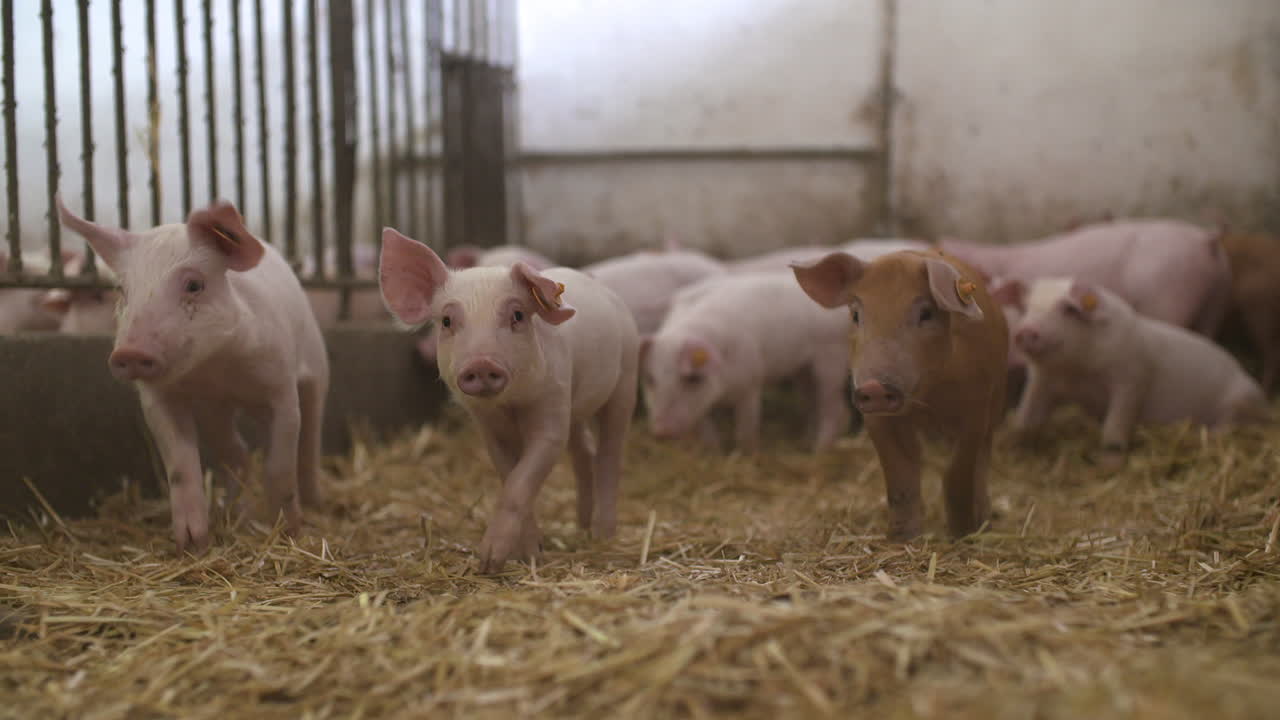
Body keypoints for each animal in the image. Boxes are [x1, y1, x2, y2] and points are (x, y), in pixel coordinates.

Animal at [56, 194, 330, 553]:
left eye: (194, 284)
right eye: (122, 290)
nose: (129, 353)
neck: (215, 368)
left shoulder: (280, 386)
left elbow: (280, 464)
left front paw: (290, 531)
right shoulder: (161, 399)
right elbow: (180, 466)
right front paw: (193, 544)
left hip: (315, 361)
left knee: (309, 437)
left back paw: (315, 502)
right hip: (214, 414)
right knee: (237, 453)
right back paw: (234, 513)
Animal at [379, 227, 639, 573]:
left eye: (517, 315)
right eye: (446, 321)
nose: (481, 363)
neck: (511, 405)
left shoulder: (552, 406)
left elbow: (520, 484)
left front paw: (489, 561)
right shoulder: (490, 429)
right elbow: (510, 477)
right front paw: (527, 555)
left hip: (625, 380)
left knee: (610, 455)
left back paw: (602, 536)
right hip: (577, 406)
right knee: (584, 451)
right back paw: (581, 525)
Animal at [641, 272, 851, 454]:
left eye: (693, 378)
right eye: (651, 379)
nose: (661, 432)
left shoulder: (751, 384)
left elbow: (745, 431)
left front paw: (747, 454)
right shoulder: (702, 406)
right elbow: (707, 433)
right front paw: (712, 453)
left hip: (832, 356)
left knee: (833, 407)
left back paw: (819, 451)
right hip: (803, 369)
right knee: (812, 403)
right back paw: (806, 442)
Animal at [792, 249, 1008, 540]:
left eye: (926, 313)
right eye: (856, 314)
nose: (874, 387)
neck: (927, 401)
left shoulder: (975, 409)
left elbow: (957, 473)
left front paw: (961, 535)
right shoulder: (877, 419)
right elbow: (900, 477)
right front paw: (902, 539)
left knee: (982, 461)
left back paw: (984, 520)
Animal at [1004, 277, 1268, 468]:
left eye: (1069, 309)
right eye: (1026, 308)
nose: (1026, 329)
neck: (1077, 372)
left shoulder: (1132, 378)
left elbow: (1114, 427)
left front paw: (1108, 465)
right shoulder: (1042, 381)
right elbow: (1026, 419)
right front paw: (1016, 447)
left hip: (1241, 400)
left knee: (1231, 425)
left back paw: (1209, 433)